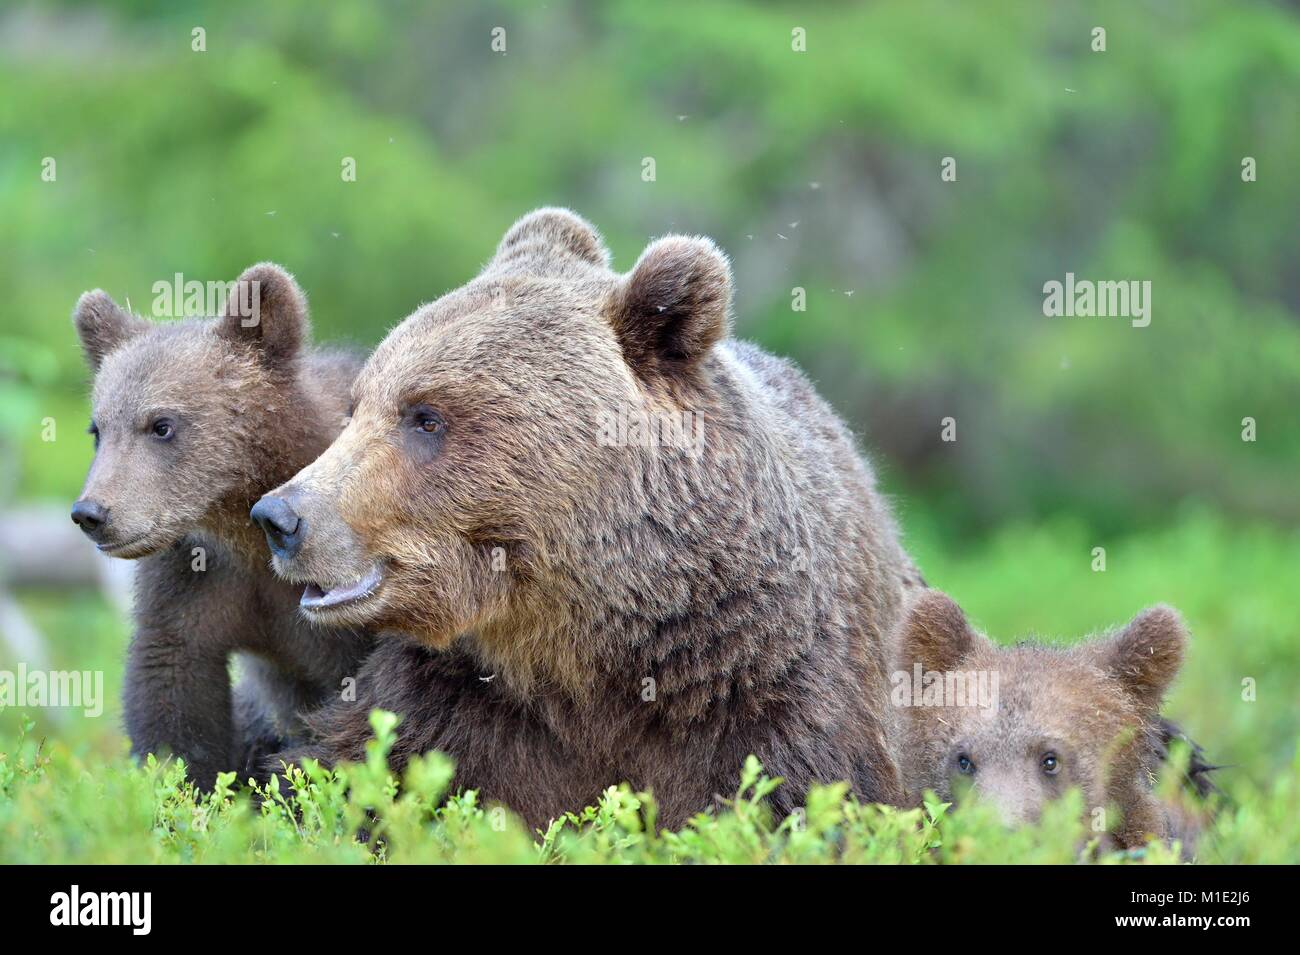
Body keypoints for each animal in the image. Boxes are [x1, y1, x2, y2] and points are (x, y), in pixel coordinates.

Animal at [71, 264, 374, 786]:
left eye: (162, 424)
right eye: (97, 429)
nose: (92, 513)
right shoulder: (198, 579)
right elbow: (174, 681)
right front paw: (184, 784)